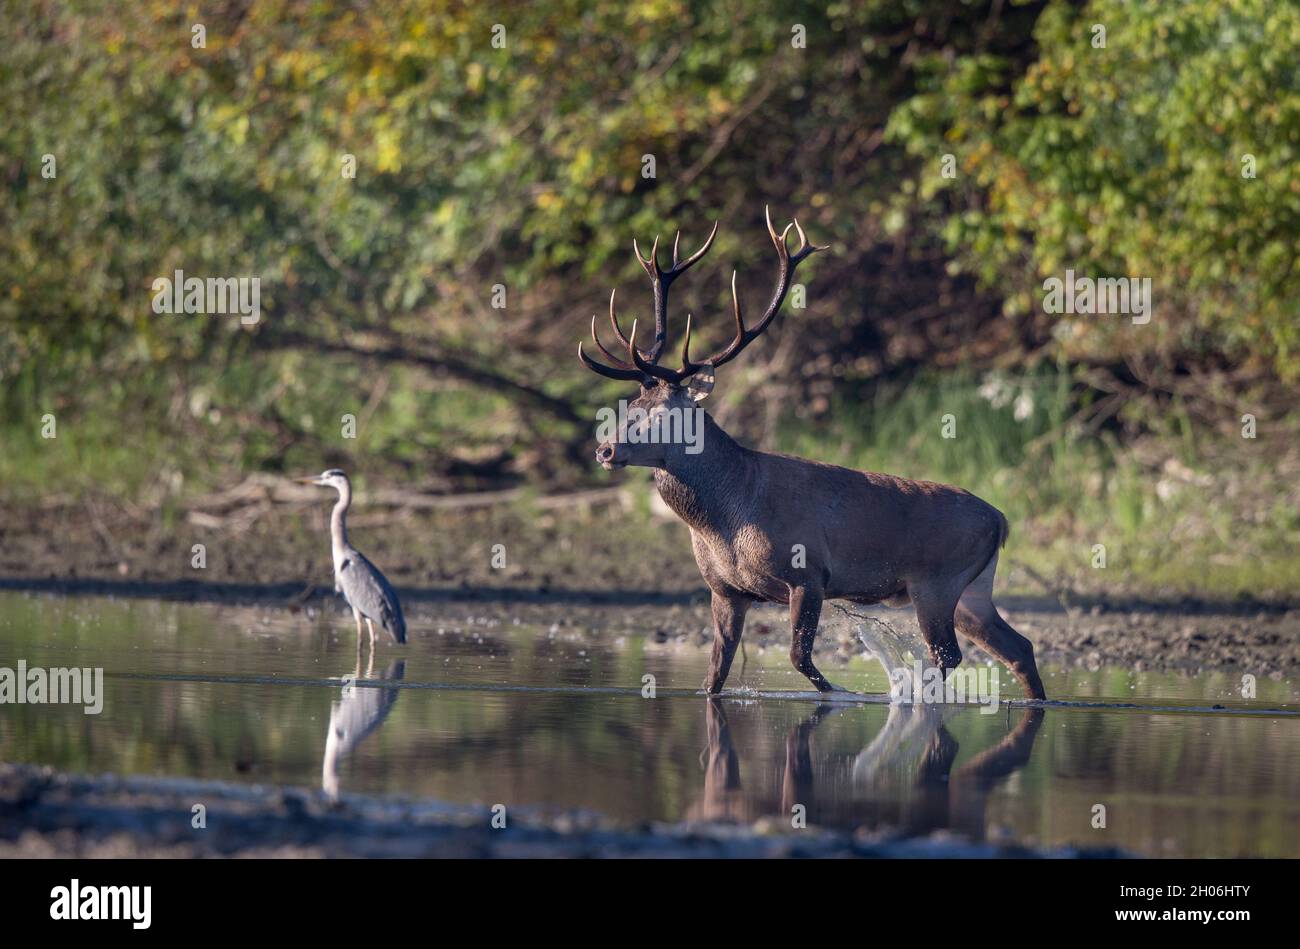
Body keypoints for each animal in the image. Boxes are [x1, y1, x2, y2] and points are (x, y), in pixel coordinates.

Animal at [577, 207, 1046, 701]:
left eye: (660, 412)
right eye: (630, 404)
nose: (605, 449)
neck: (726, 519)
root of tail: (1001, 520)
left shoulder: (809, 572)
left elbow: (799, 657)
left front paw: (841, 695)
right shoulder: (725, 590)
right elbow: (714, 673)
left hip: (937, 581)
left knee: (949, 654)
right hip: (973, 590)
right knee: (1018, 646)